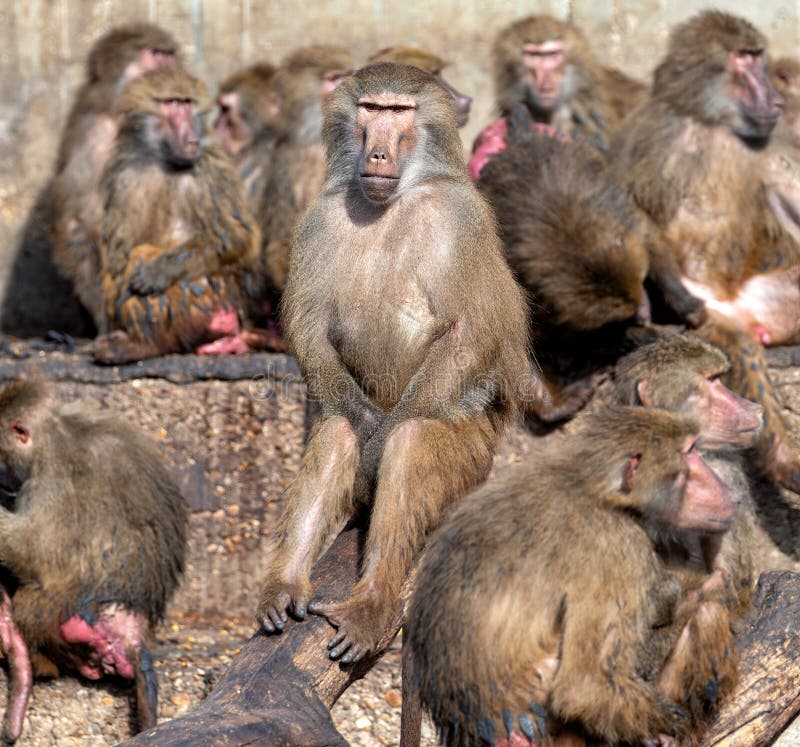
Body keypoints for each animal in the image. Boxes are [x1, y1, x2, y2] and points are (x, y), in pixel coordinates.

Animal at [0, 380, 187, 742]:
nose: (4, 480)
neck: (58, 428)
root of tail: (130, 620)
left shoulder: (49, 480)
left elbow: (33, 552)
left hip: (57, 610)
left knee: (31, 606)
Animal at [91, 68, 261, 364]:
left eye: (187, 103)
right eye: (173, 103)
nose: (192, 136)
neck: (163, 161)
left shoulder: (208, 167)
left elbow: (235, 236)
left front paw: (159, 271)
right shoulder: (123, 174)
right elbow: (115, 257)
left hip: (210, 297)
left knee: (141, 256)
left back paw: (144, 344)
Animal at [256, 63, 531, 666]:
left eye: (399, 112)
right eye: (371, 109)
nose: (378, 154)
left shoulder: (463, 220)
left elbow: (468, 334)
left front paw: (379, 448)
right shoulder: (320, 217)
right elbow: (312, 331)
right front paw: (363, 434)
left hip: (474, 457)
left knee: (411, 439)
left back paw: (372, 604)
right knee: (338, 428)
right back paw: (284, 584)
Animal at [404, 406, 739, 746]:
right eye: (690, 452)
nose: (731, 491)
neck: (592, 487)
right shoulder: (618, 551)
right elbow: (585, 688)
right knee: (706, 614)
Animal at [609, 11, 800, 495]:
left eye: (757, 57)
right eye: (743, 59)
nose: (775, 100)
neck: (710, 122)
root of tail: (743, 307)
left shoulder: (774, 150)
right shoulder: (651, 133)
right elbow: (635, 213)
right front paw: (673, 295)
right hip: (719, 323)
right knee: (740, 351)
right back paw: (787, 463)